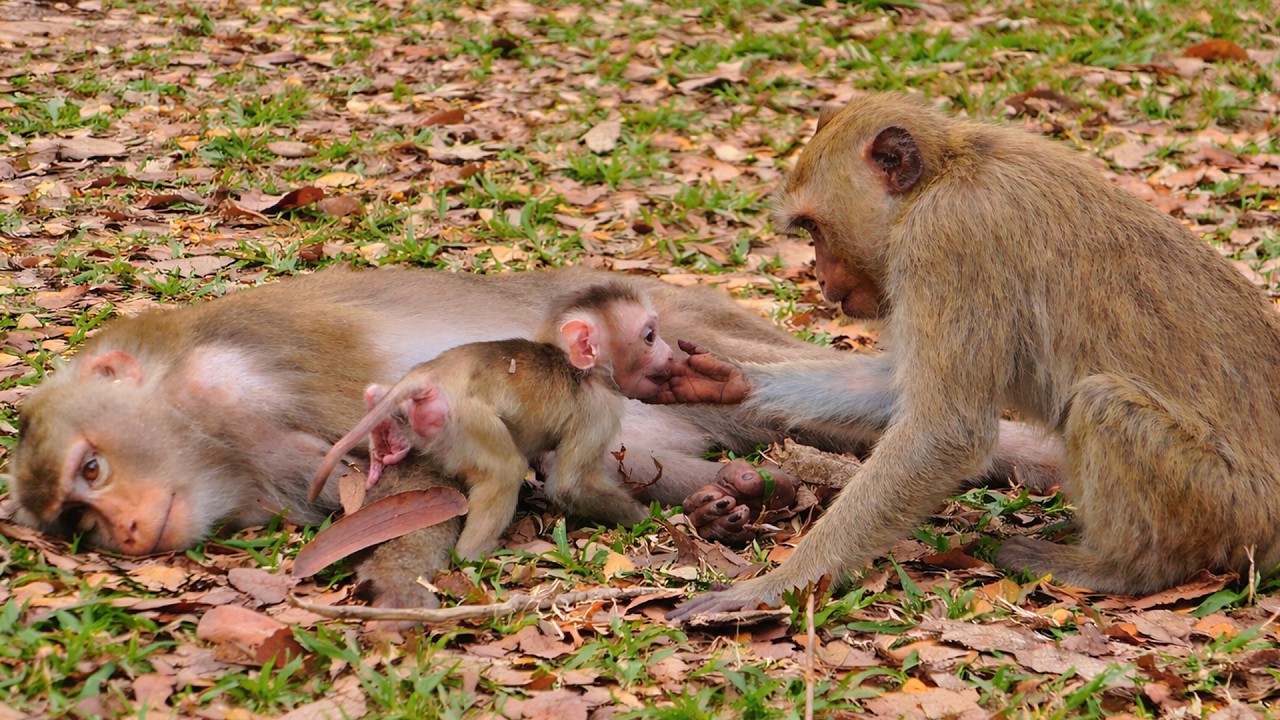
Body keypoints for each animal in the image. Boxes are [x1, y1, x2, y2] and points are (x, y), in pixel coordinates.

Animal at [307, 282, 675, 559]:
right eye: (650, 336)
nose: (671, 354)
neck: (580, 368)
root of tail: (432, 375)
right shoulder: (600, 407)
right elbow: (570, 485)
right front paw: (646, 518)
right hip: (466, 420)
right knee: (505, 470)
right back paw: (472, 556)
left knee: (378, 396)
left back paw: (385, 428)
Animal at [661, 92, 1280, 620]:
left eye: (814, 228)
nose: (818, 279)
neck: (945, 174)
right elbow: (897, 392)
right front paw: (724, 379)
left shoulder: (946, 241)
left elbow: (945, 429)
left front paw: (774, 585)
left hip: (1228, 508)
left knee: (1104, 402)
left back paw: (1118, 570)